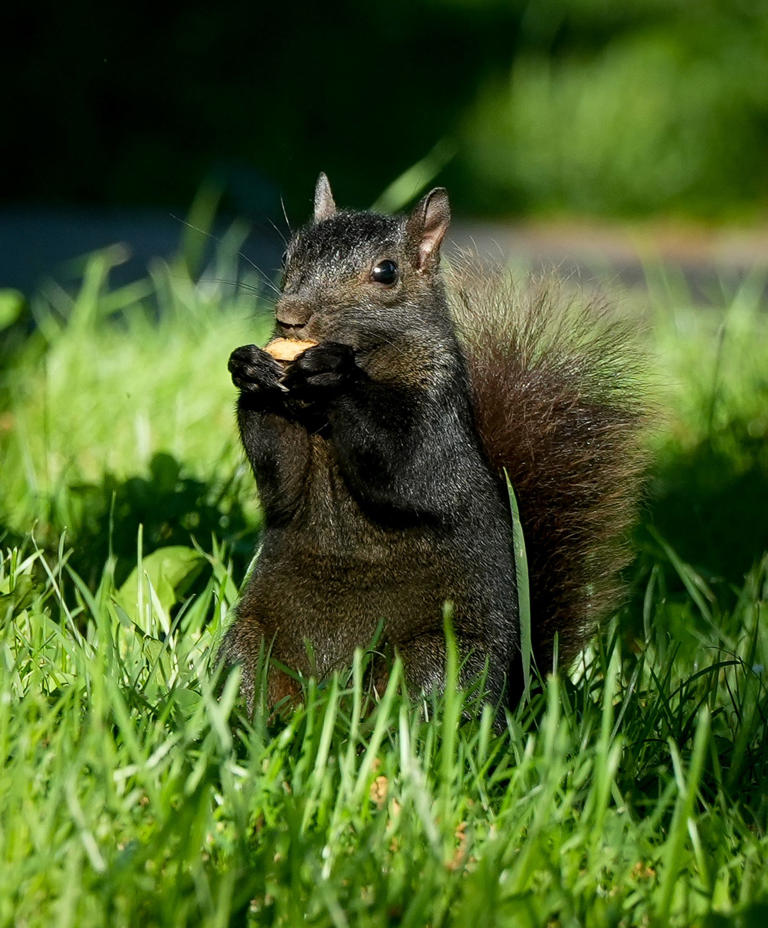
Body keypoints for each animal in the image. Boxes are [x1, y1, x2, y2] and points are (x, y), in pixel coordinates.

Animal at [220, 173, 647, 714]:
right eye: (288, 254)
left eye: (386, 272)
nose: (290, 317)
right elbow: (284, 478)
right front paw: (250, 368)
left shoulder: (437, 419)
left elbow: (405, 470)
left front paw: (336, 374)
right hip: (249, 644)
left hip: (439, 657)